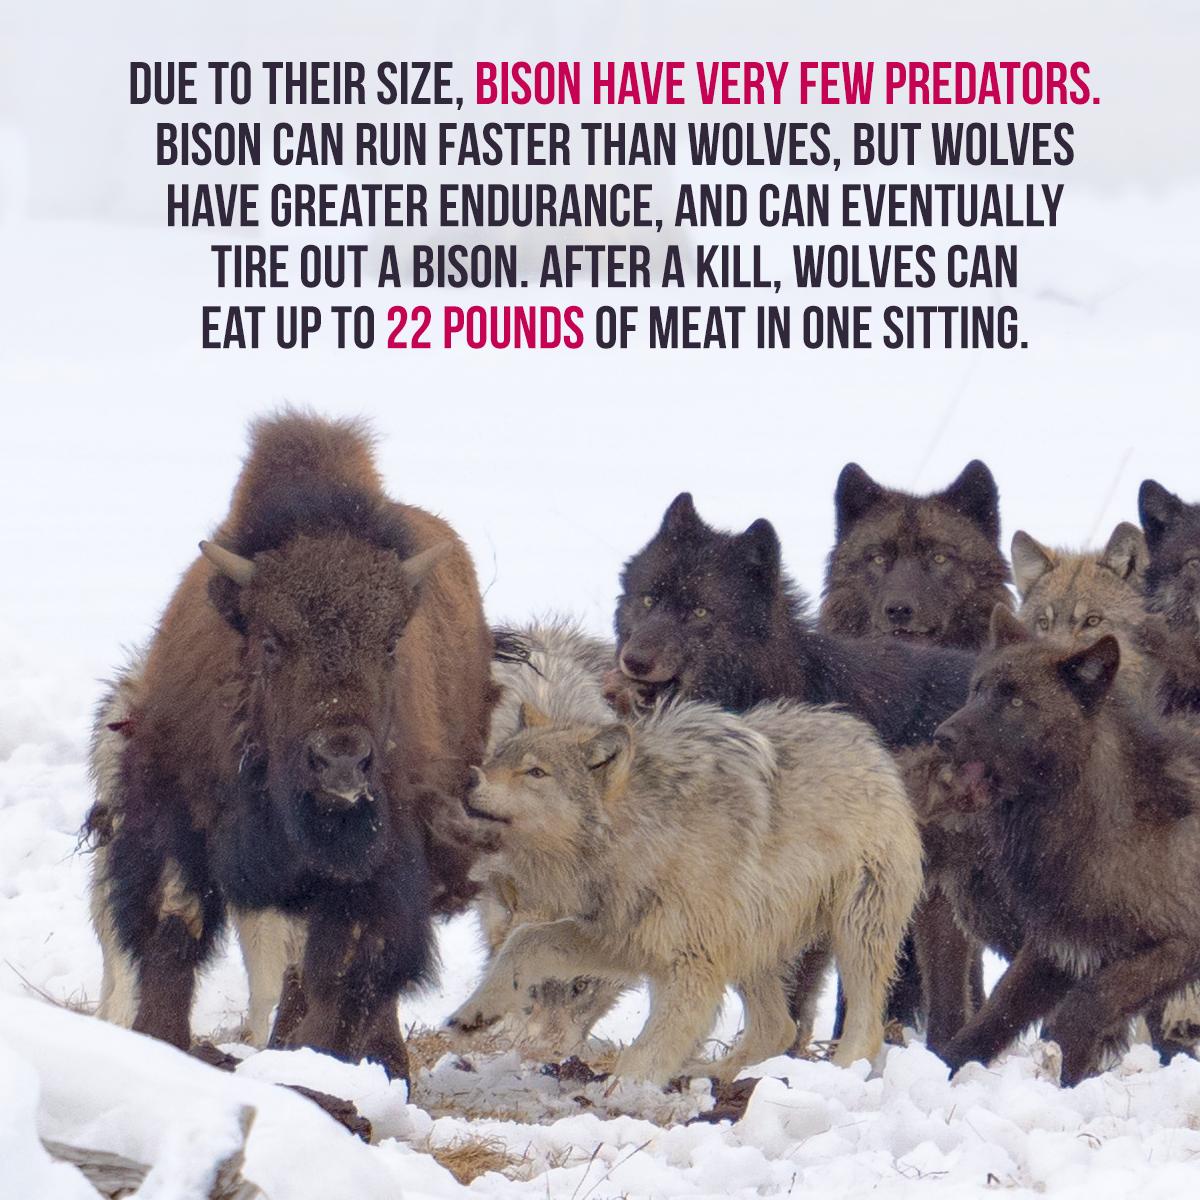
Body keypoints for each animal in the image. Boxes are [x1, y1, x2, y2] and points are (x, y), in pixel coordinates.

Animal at [447, 699, 924, 1086]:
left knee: (865, 1028)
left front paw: (623, 1098)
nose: (468, 780)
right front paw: (474, 1012)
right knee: (778, 1028)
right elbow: (524, 941)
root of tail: (868, 742)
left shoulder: (692, 964)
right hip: (749, 944)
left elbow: (650, 1049)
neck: (641, 834)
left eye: (535, 772)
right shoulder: (622, 939)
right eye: (497, 758)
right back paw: (709, 1074)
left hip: (855, 928)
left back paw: (836, 1079)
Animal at [934, 607, 1200, 1085]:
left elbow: (1088, 1002)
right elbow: (996, 1012)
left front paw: (1065, 1069)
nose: (941, 736)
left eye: (1016, 702)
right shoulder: (1059, 944)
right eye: (977, 689)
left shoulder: (1180, 943)